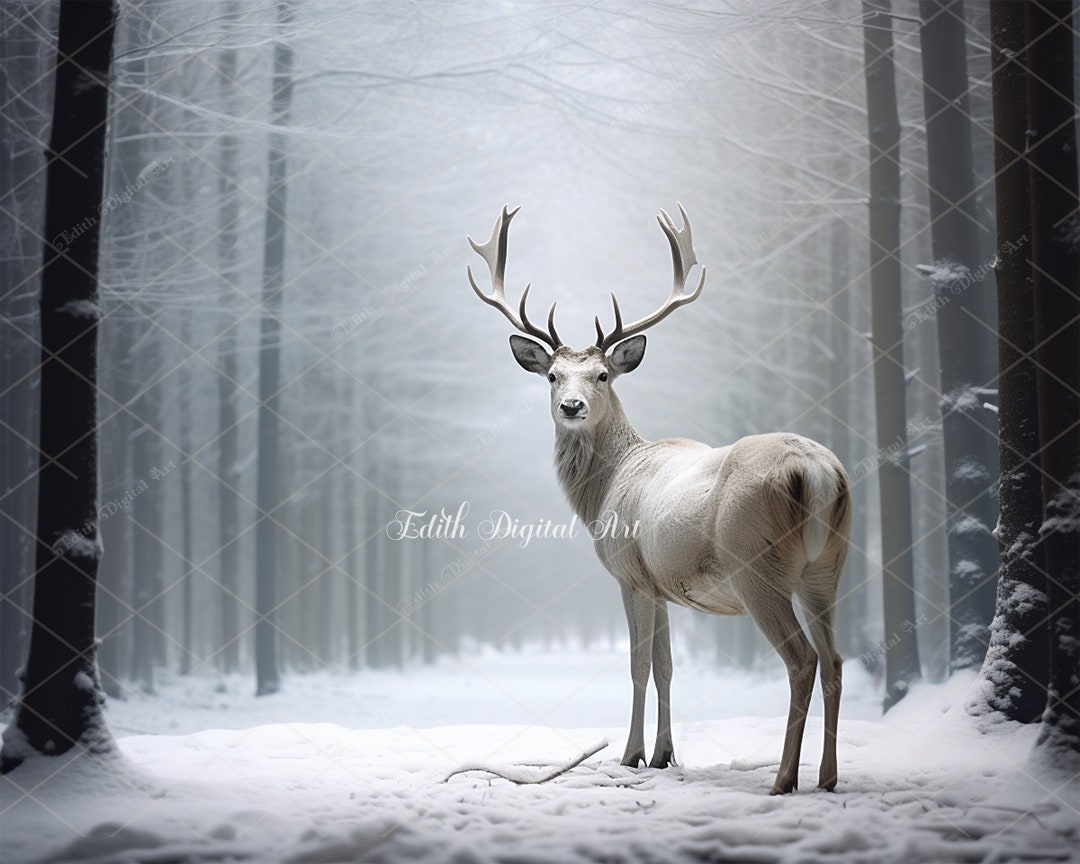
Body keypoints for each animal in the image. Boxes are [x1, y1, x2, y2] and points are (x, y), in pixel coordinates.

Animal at [467, 203, 852, 795]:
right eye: (552, 375)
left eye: (603, 373)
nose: (573, 406)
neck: (604, 490)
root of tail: (815, 472)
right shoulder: (663, 582)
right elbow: (668, 666)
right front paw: (666, 754)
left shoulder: (629, 573)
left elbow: (638, 665)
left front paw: (631, 754)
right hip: (828, 565)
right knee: (834, 660)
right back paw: (828, 777)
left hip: (756, 563)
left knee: (802, 660)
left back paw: (785, 777)